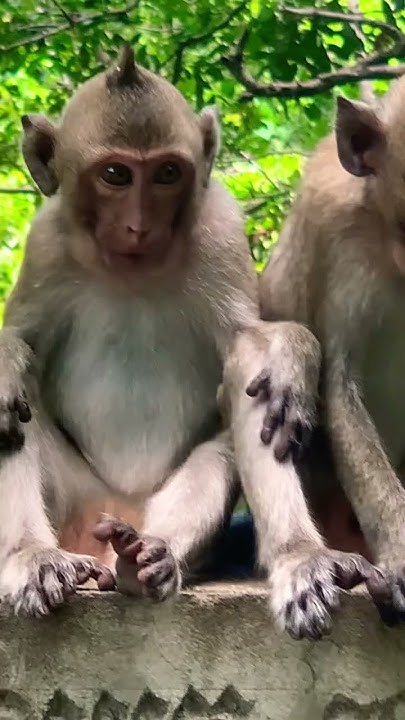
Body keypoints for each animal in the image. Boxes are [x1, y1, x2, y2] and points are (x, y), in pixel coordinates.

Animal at [0, 45, 326, 621]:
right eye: (115, 174)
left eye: (168, 173)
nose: (139, 225)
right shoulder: (47, 243)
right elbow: (18, 345)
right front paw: (6, 365)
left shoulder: (220, 226)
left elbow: (251, 350)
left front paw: (290, 360)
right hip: (78, 502)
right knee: (19, 413)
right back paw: (34, 556)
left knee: (232, 431)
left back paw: (155, 560)